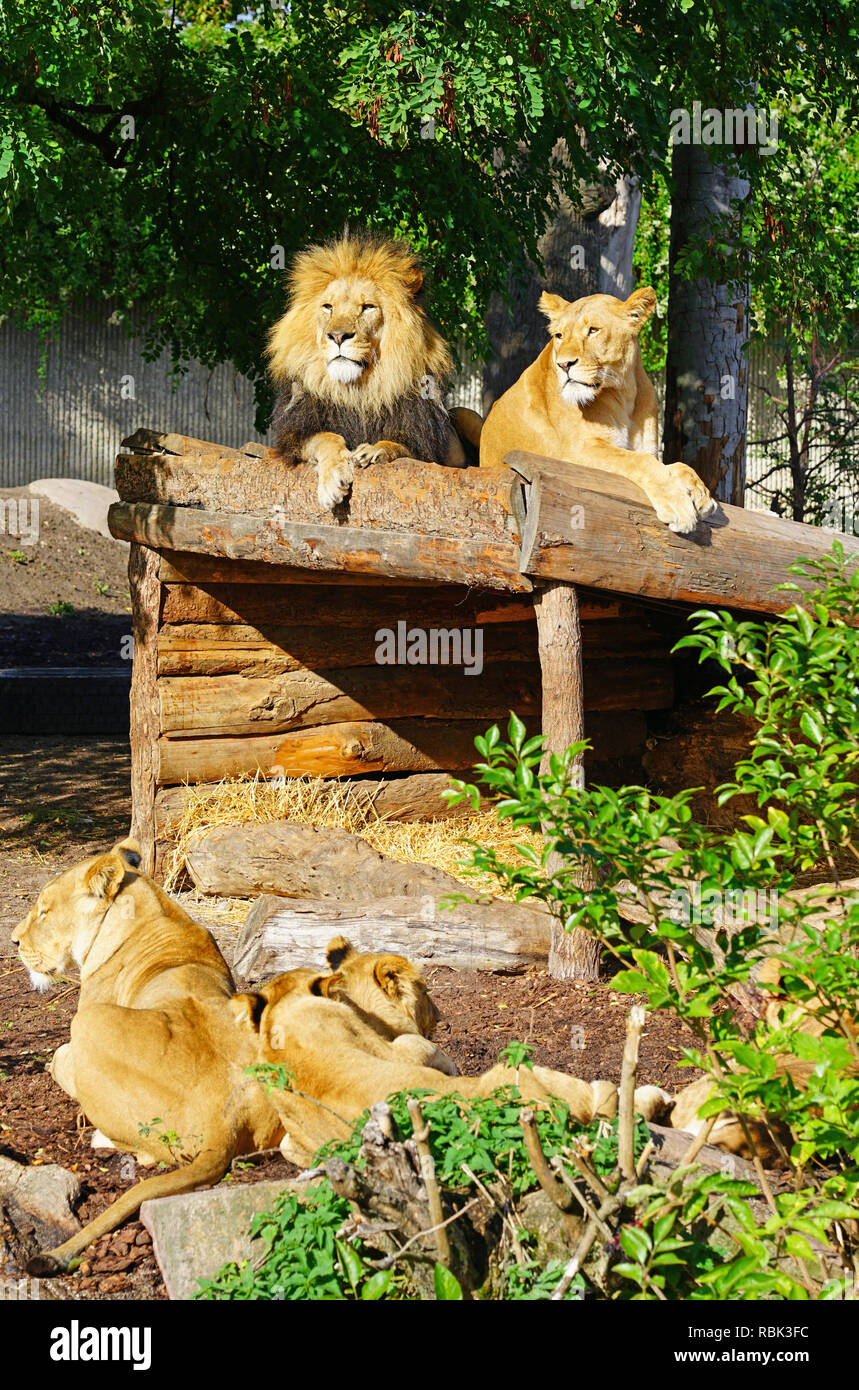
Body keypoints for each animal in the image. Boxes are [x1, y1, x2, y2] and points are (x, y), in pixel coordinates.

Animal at [267, 232, 483, 509]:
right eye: (328, 307)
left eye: (367, 307)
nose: (338, 336)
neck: (359, 390)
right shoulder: (294, 436)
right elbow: (326, 438)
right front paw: (331, 483)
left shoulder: (426, 447)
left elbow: (399, 445)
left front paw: (375, 450)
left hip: (468, 414)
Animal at [479, 288, 717, 535]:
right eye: (559, 335)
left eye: (593, 330)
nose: (563, 364)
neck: (624, 393)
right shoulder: (575, 452)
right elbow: (640, 462)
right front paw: (678, 505)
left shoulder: (649, 449)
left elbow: (675, 465)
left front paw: (701, 494)